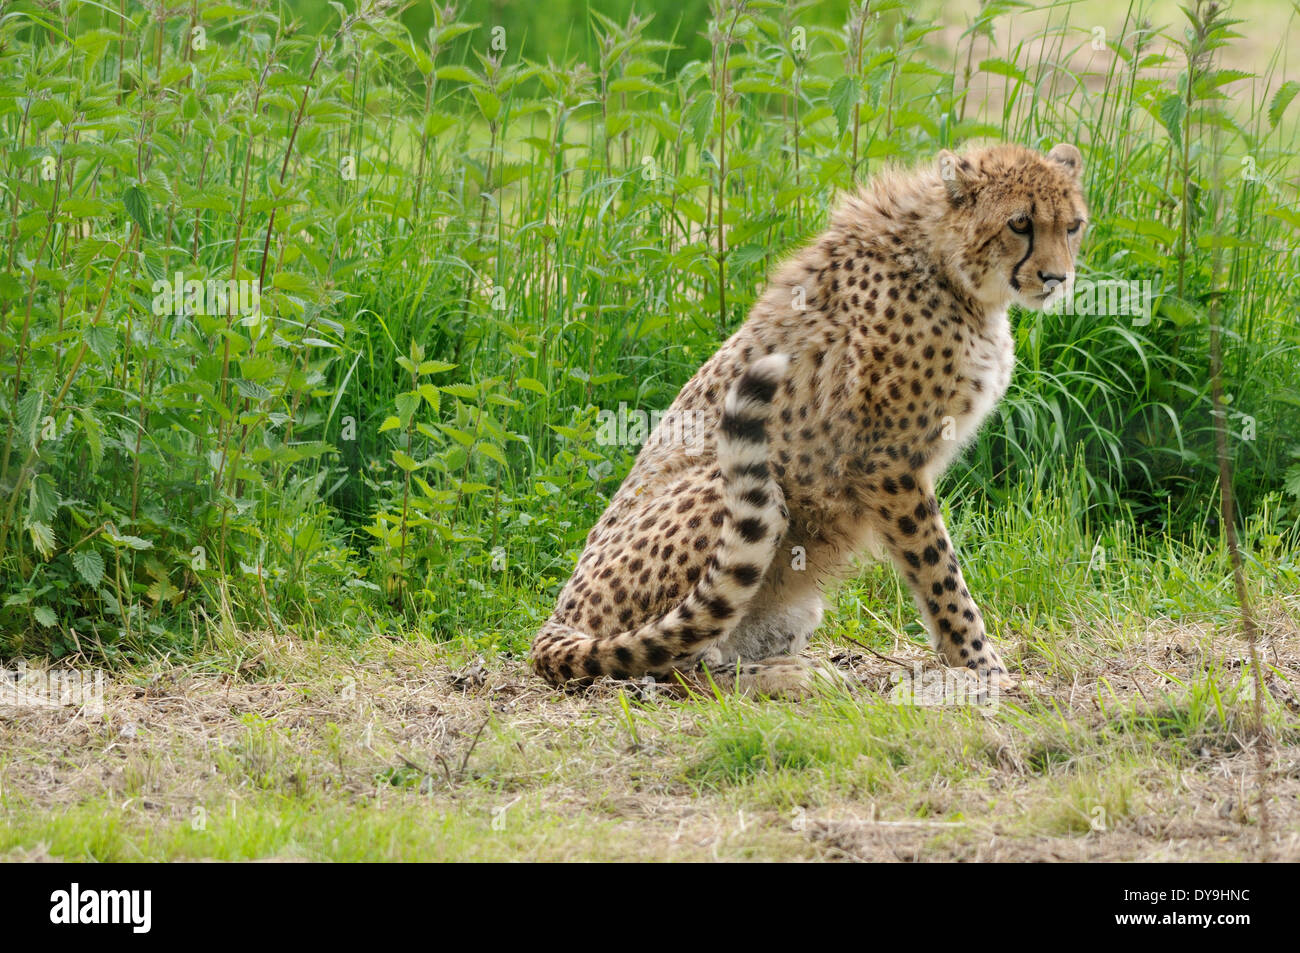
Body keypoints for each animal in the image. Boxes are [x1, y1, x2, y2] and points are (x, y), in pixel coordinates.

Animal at [530, 142, 1088, 695]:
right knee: (677, 665)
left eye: (1073, 226)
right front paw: (983, 666)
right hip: (748, 485)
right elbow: (939, 570)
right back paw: (794, 675)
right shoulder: (887, 462)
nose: (1057, 278)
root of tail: (555, 621)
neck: (945, 262)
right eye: (1020, 223)